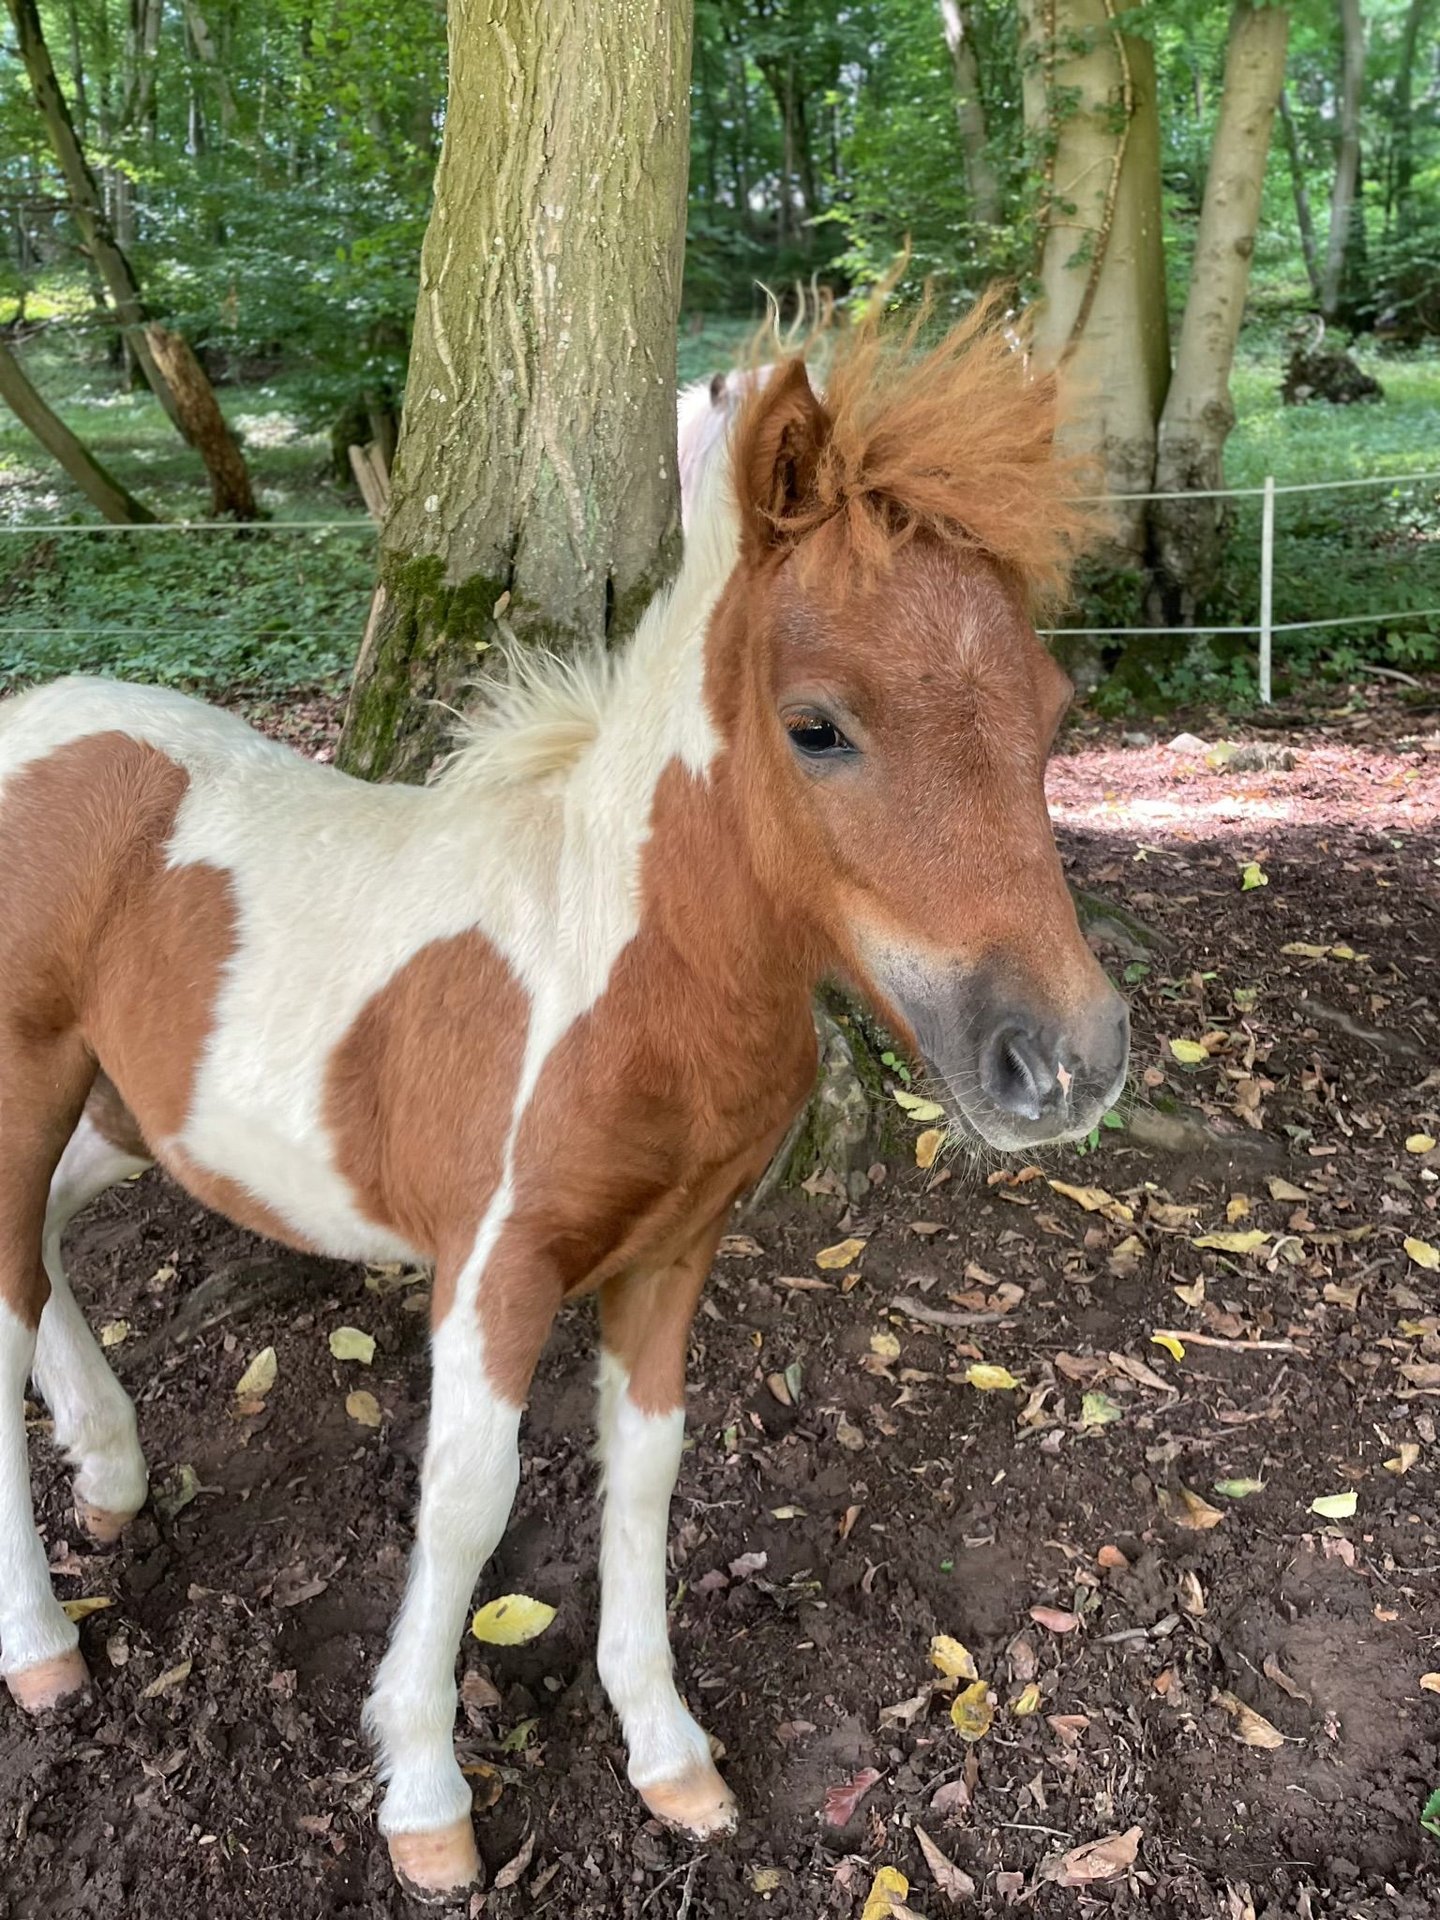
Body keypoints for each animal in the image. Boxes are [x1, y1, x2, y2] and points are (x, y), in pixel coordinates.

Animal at [0, 294, 1129, 1895]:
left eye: (1052, 709)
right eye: (818, 725)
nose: (1068, 1061)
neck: (629, 959)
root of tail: (34, 719)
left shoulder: (673, 1252)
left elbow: (643, 1474)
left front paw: (670, 1758)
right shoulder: (495, 1262)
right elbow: (468, 1503)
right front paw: (423, 1796)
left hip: (126, 1112)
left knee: (38, 1251)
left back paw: (109, 1469)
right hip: (24, 1084)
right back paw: (40, 1642)